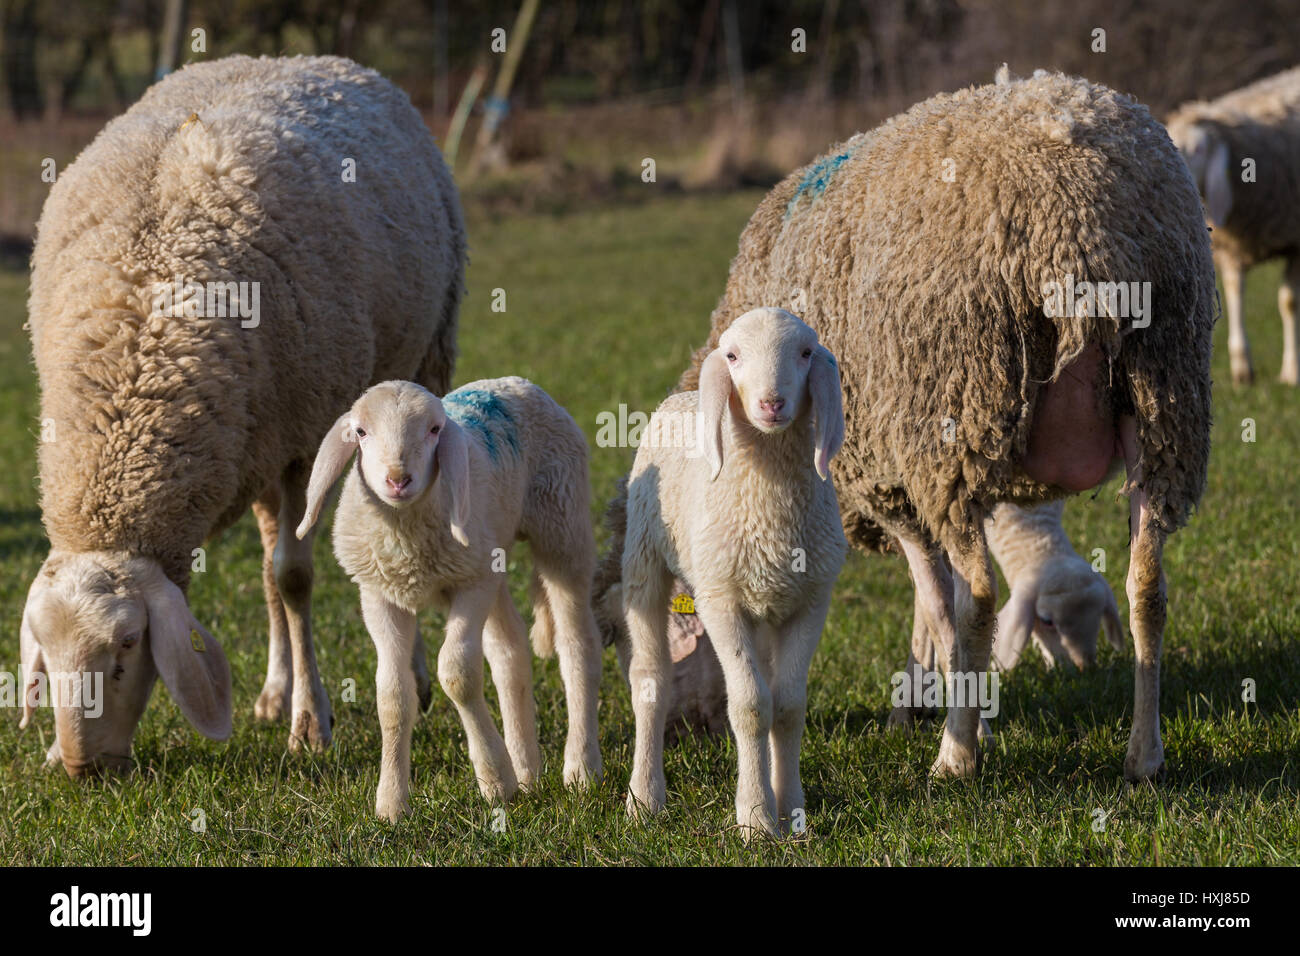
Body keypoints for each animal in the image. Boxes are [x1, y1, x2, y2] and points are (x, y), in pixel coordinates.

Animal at [20, 54, 466, 776]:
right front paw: (289, 701)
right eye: (46, 656)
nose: (84, 769)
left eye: (127, 648)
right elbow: (273, 576)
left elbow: (295, 578)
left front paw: (311, 724)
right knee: (262, 556)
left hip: (422, 361)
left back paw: (414, 681)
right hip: (254, 439)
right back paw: (275, 691)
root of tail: (295, 59)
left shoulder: (308, 440)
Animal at [295, 378, 603, 821]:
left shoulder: (469, 585)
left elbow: (457, 675)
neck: (405, 540)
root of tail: (516, 382)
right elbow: (391, 694)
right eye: (361, 432)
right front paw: (392, 803)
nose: (397, 479)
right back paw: (526, 769)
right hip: (493, 555)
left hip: (561, 526)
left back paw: (580, 768)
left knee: (577, 644)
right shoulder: (379, 595)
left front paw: (495, 781)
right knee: (509, 649)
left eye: (434, 430)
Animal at [604, 69, 1215, 784]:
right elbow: (932, 601)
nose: (683, 735)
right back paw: (1144, 755)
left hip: (953, 415)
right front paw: (922, 698)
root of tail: (1078, 225)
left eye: (628, 640)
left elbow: (941, 602)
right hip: (1164, 404)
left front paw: (953, 714)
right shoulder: (903, 483)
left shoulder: (882, 480)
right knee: (1147, 586)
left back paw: (957, 757)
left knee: (978, 599)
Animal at [623, 307, 848, 839]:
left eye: (805, 353)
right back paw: (644, 798)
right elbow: (749, 707)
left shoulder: (811, 600)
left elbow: (786, 706)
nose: (771, 402)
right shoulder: (721, 601)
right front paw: (757, 820)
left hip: (767, 601)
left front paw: (792, 811)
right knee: (650, 681)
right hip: (644, 560)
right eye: (732, 356)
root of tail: (683, 395)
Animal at [1166, 67, 1300, 385]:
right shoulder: (1231, 249)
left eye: (1199, 148)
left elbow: (1289, 303)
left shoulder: (1295, 242)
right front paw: (1242, 369)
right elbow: (1234, 294)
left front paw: (1291, 372)